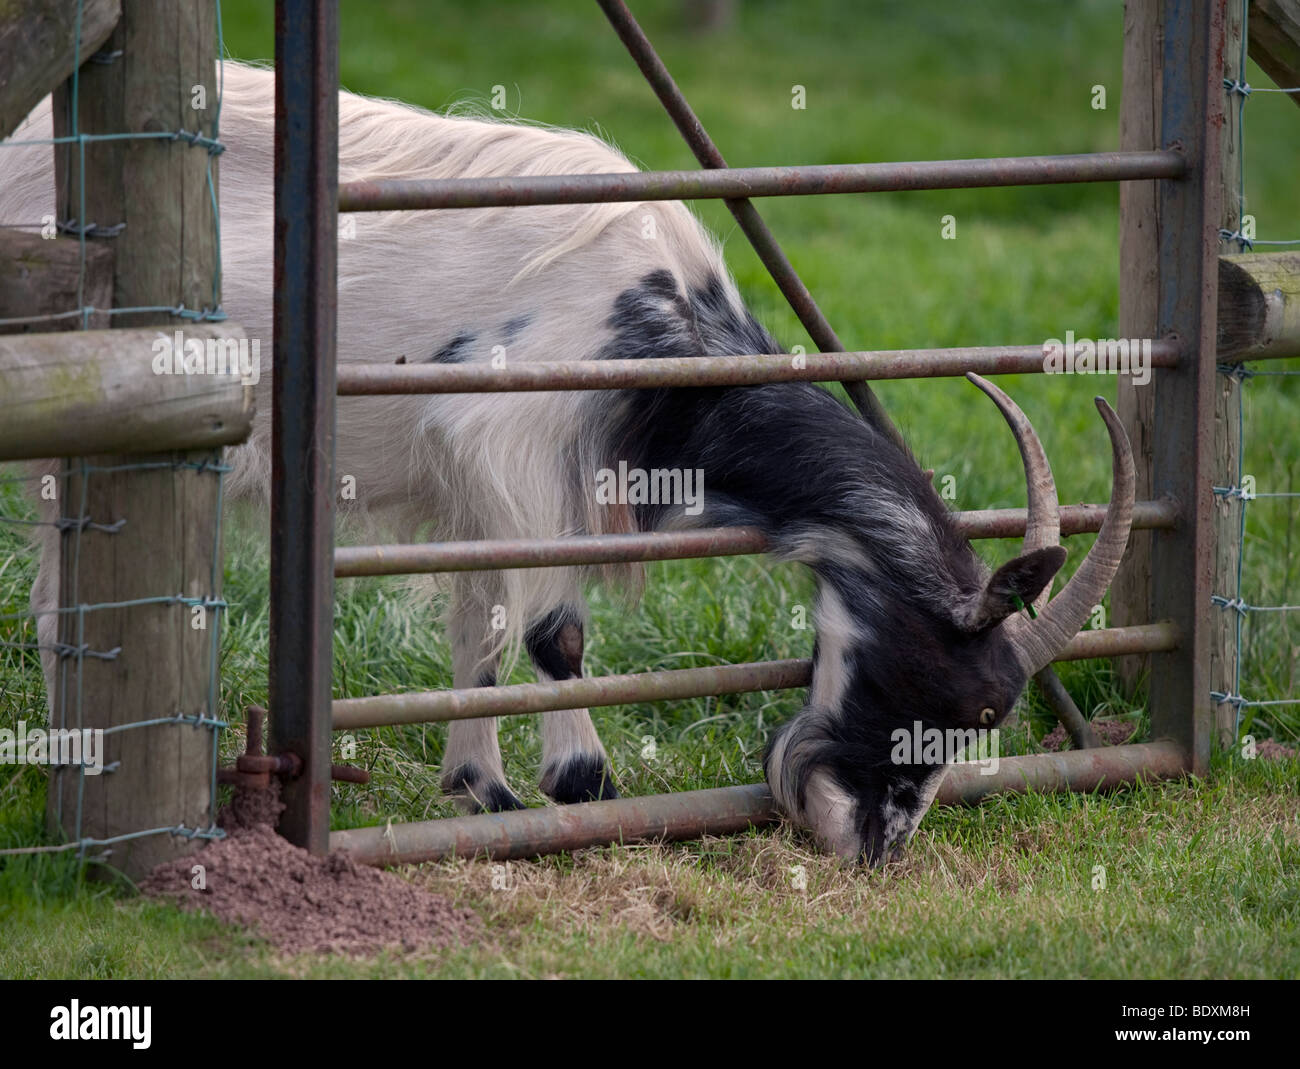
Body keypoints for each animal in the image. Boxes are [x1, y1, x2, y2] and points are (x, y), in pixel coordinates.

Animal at [3, 63, 1134, 865]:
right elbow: (553, 630)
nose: (871, 843)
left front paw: (477, 790)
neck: (653, 322)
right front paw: (579, 784)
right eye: (967, 699)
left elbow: (481, 626)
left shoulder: (485, 488)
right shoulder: (512, 444)